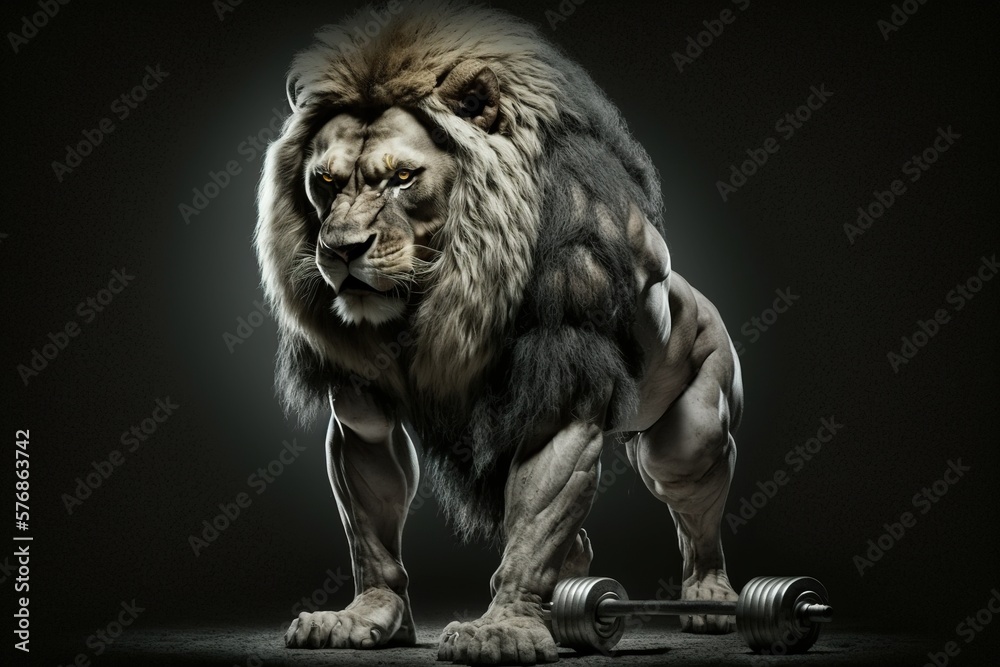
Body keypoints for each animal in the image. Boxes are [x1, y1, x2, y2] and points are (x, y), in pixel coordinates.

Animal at [254, 1, 744, 663]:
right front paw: (366, 615)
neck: (448, 277)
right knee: (574, 542)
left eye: (403, 178)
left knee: (690, 496)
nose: (342, 249)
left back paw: (709, 599)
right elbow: (371, 519)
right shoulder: (360, 407)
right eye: (326, 182)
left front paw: (505, 626)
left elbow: (535, 516)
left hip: (691, 431)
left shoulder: (564, 370)